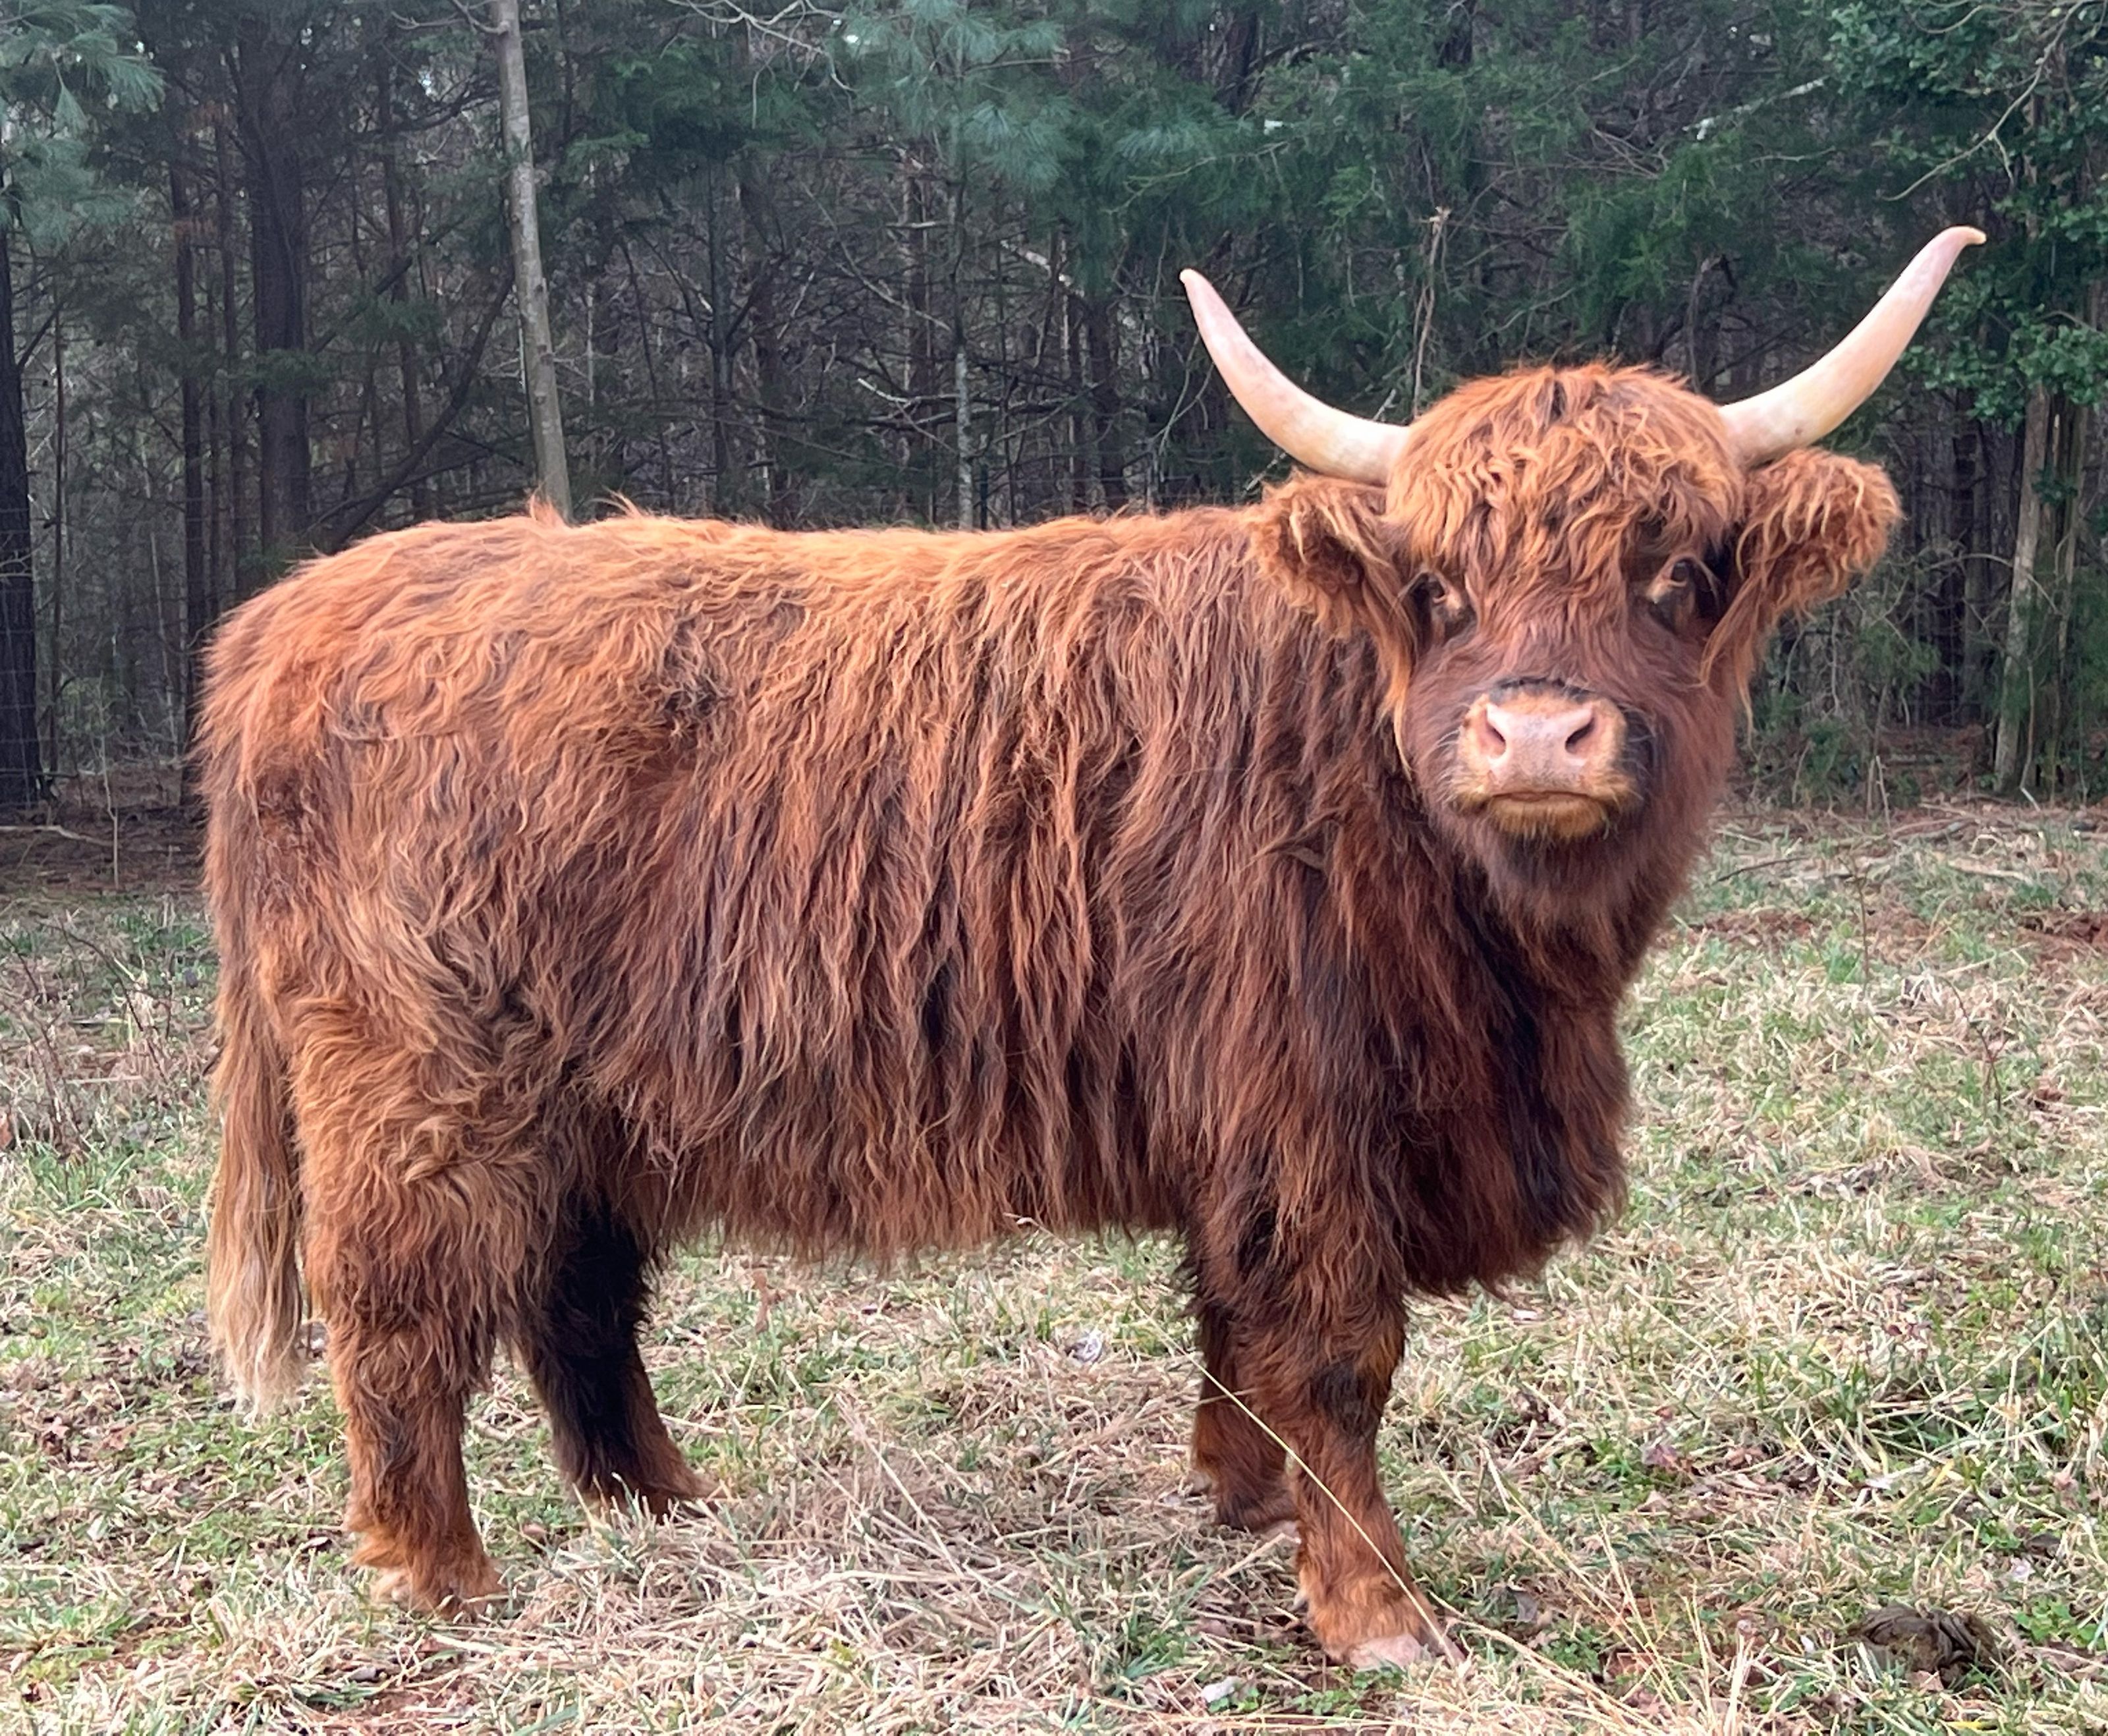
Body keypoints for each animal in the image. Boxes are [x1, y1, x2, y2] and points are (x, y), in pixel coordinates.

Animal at [199, 229, 1980, 1668]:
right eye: (1435, 584)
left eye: (1678, 577)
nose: (1535, 735)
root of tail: (297, 612)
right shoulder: (1299, 1104)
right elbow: (1335, 1346)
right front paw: (1377, 1608)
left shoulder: (1255, 1122)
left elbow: (1237, 1331)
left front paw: (1242, 1502)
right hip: (422, 1082)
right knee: (400, 1308)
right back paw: (440, 1571)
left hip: (584, 1093)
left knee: (579, 1296)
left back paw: (665, 1508)